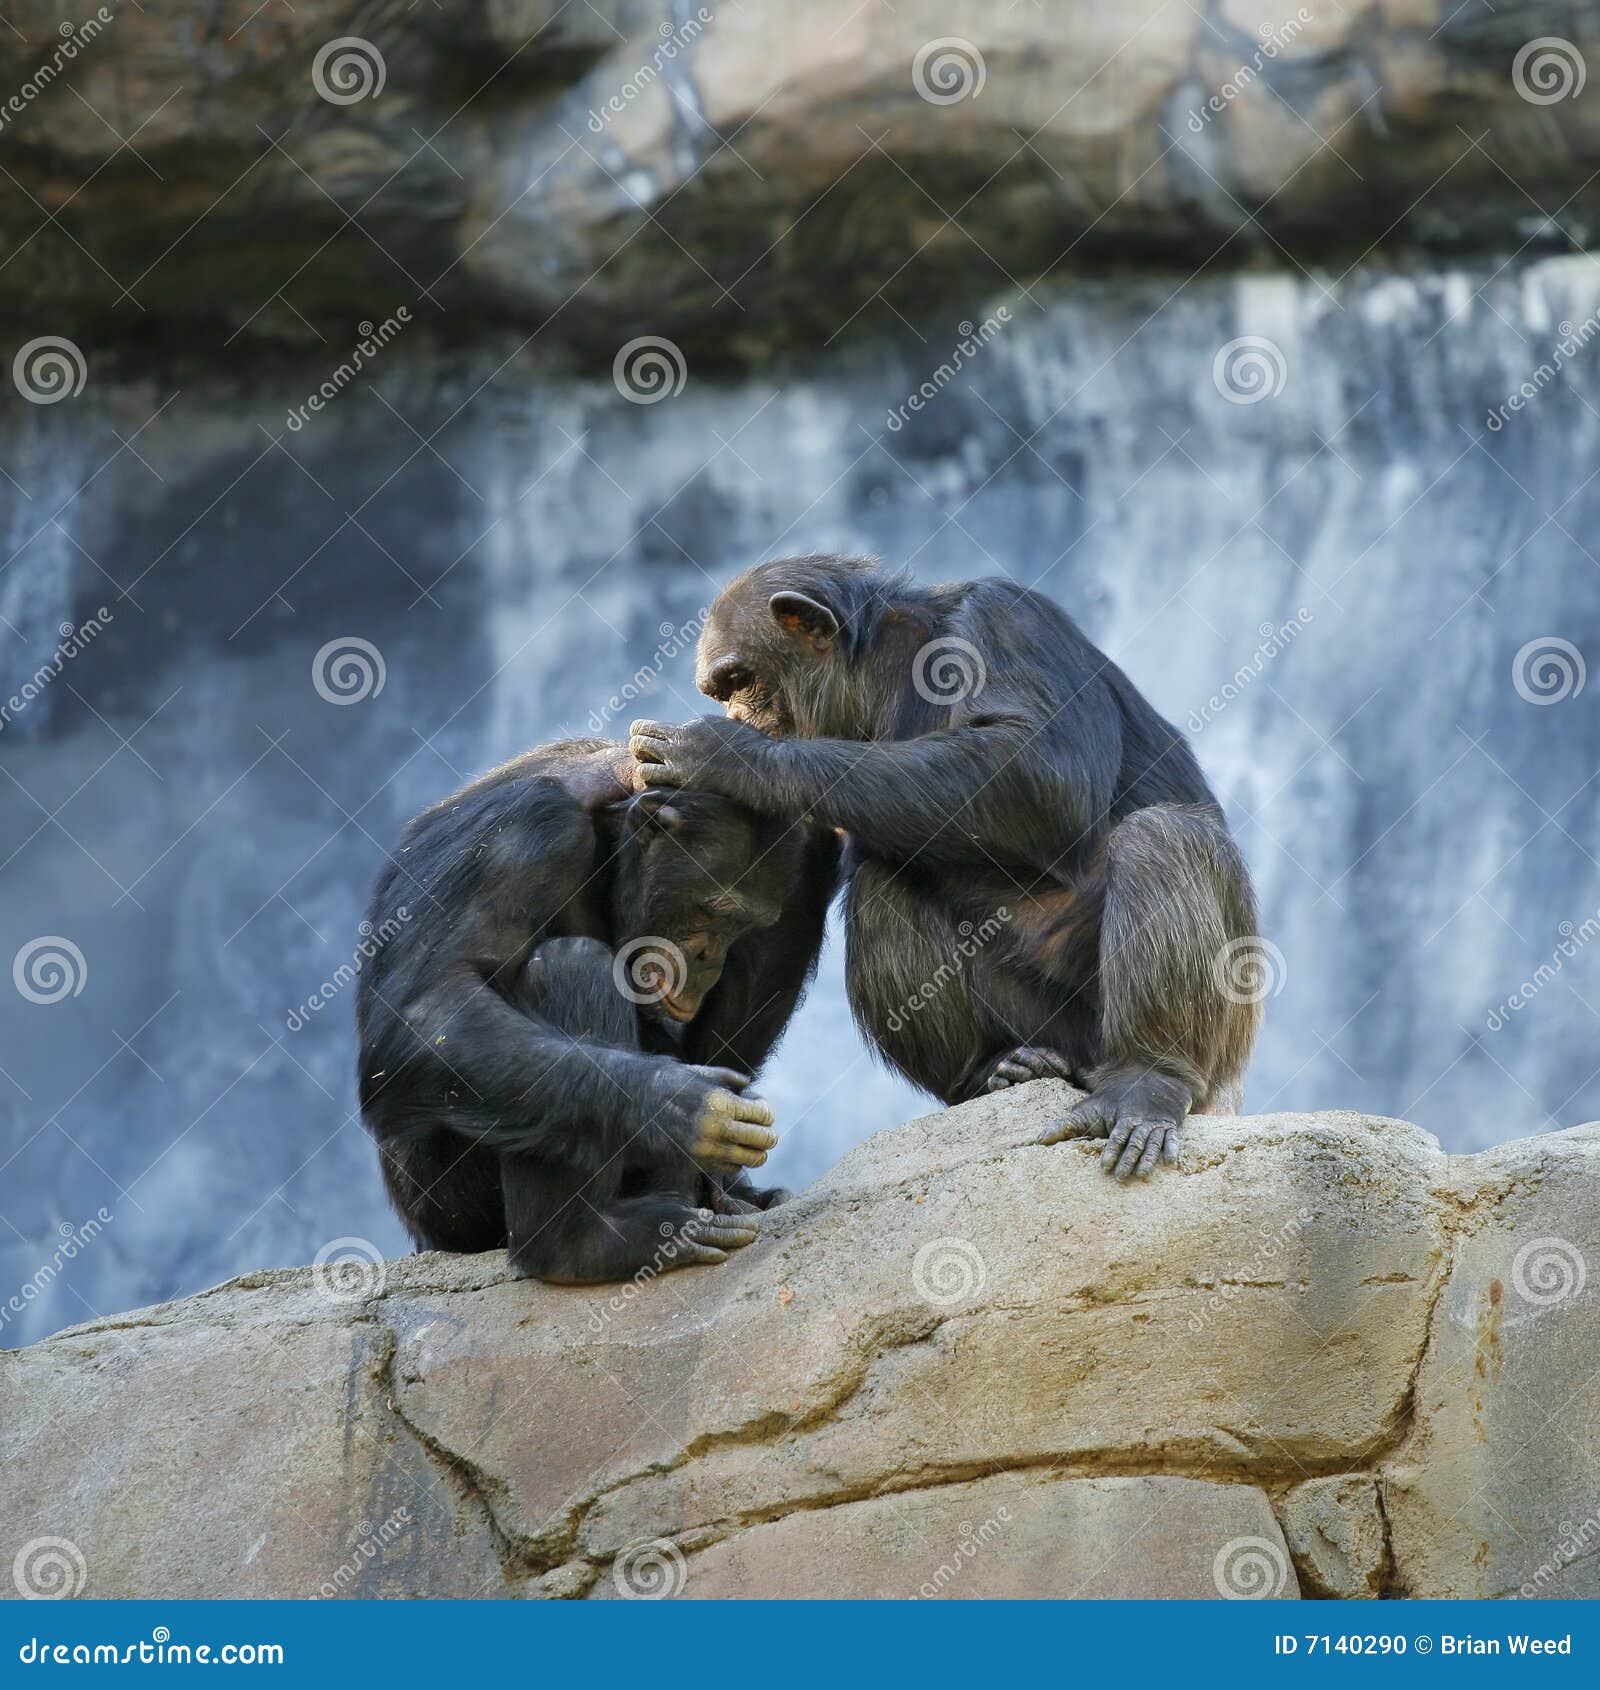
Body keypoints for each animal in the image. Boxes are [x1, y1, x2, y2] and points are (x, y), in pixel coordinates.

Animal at [356, 737, 838, 1282]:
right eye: (707, 913)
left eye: (744, 924)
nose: (706, 959)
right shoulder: (520, 836)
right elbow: (431, 1005)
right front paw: (677, 1105)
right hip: (453, 1208)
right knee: (571, 963)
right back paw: (583, 1243)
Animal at [628, 555, 1261, 1181]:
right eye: (722, 690)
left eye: (740, 681)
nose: (735, 714)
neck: (881, 672)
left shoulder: (1007, 621)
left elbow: (1035, 765)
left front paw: (725, 756)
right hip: (1044, 1030)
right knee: (882, 882)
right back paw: (992, 1071)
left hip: (1208, 1042)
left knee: (1163, 837)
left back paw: (1146, 1080)